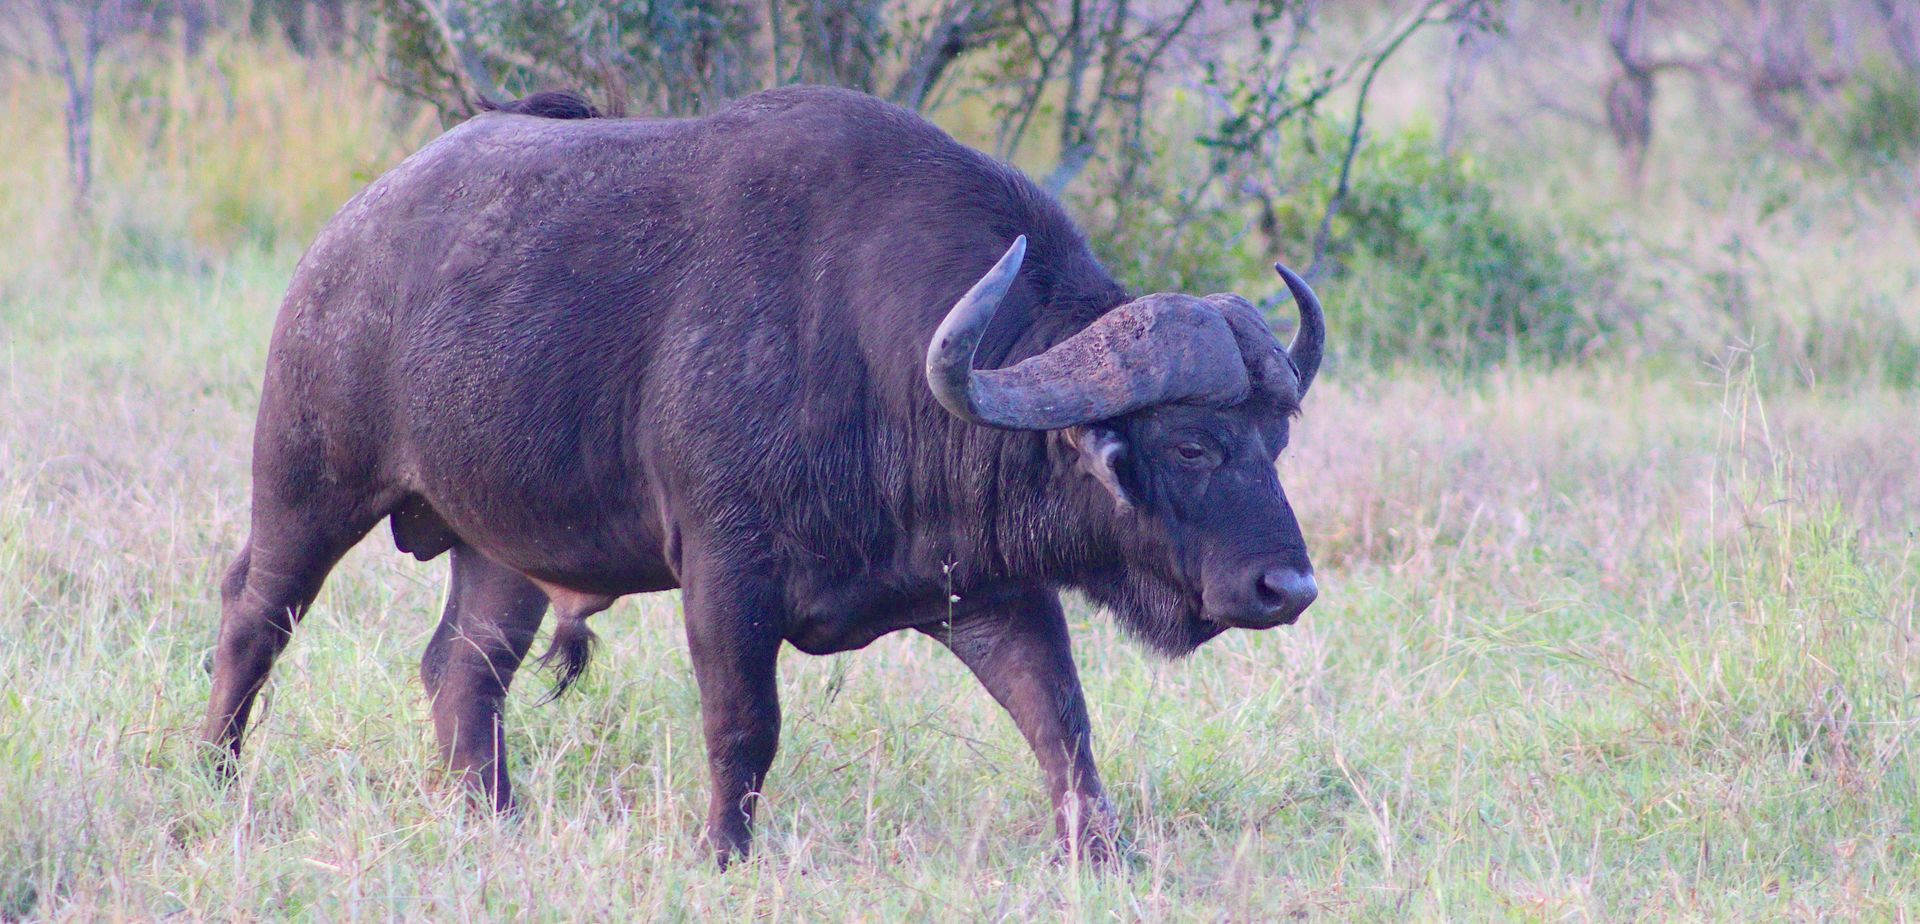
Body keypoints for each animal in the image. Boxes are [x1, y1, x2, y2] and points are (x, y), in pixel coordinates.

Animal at [201, 86, 1325, 867]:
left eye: (1275, 441)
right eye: (1190, 444)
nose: (1290, 586)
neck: (884, 361)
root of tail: (352, 233)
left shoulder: (993, 598)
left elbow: (1064, 727)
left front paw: (1100, 856)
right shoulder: (725, 579)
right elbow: (744, 728)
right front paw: (722, 855)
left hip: (499, 551)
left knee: (462, 671)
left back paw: (494, 818)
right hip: (308, 484)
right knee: (255, 616)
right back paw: (214, 775)